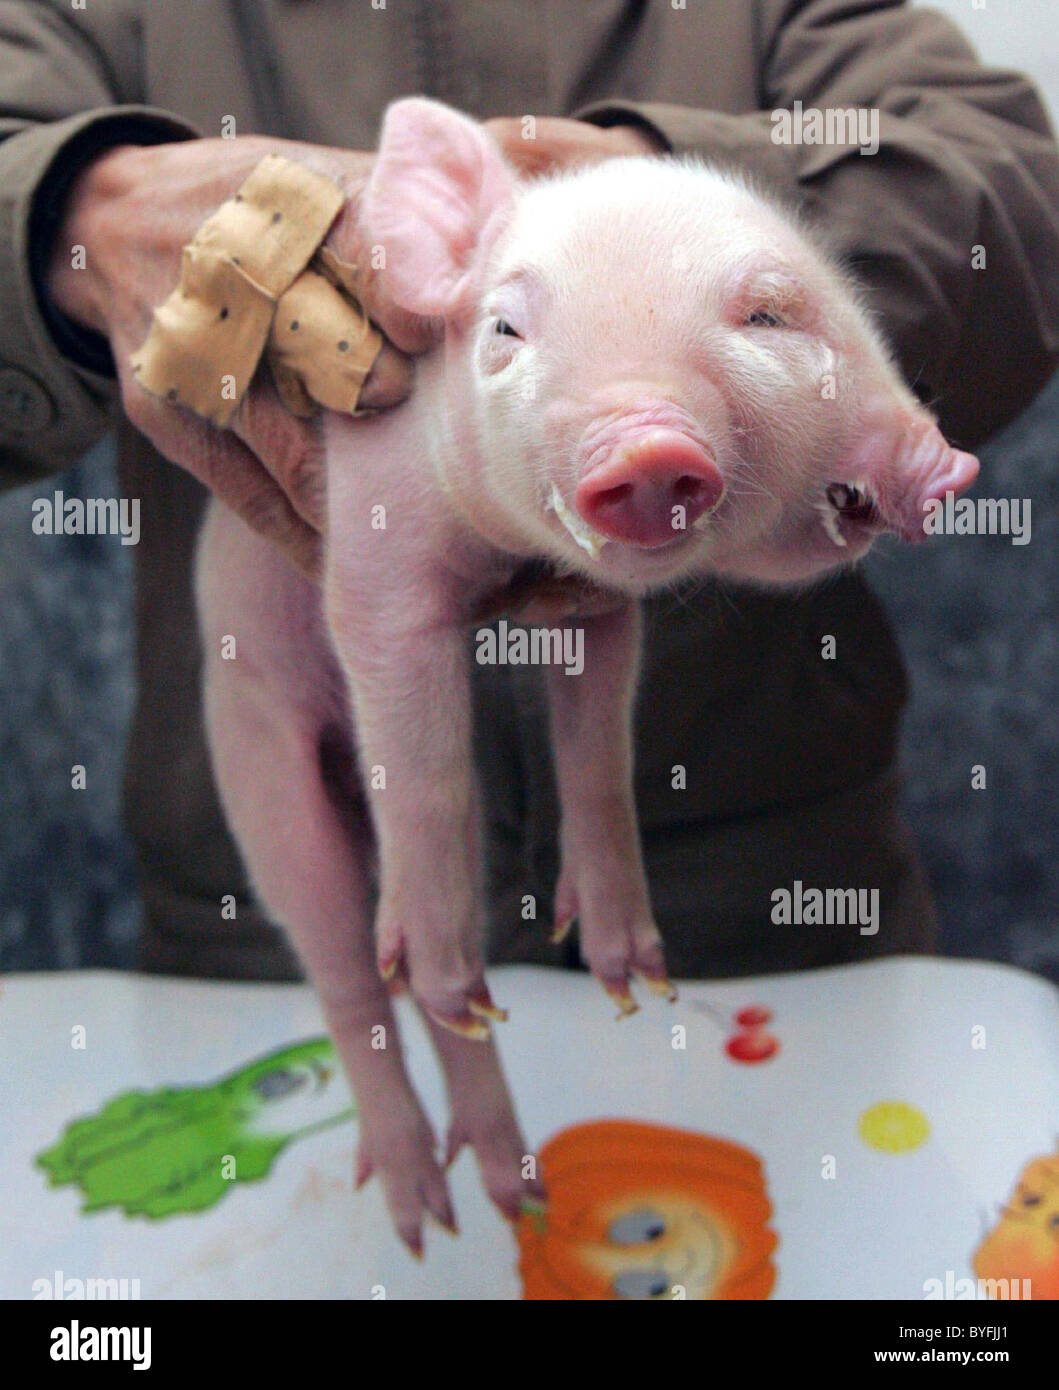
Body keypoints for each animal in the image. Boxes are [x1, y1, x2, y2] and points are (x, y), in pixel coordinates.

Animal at [194, 97, 979, 1252]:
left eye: (768, 317)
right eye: (505, 333)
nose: (645, 443)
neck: (504, 565)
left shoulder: (594, 611)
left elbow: (598, 751)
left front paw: (633, 983)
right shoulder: (378, 562)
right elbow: (424, 768)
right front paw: (453, 962)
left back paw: (509, 1188)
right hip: (248, 725)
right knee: (341, 960)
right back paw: (428, 1195)